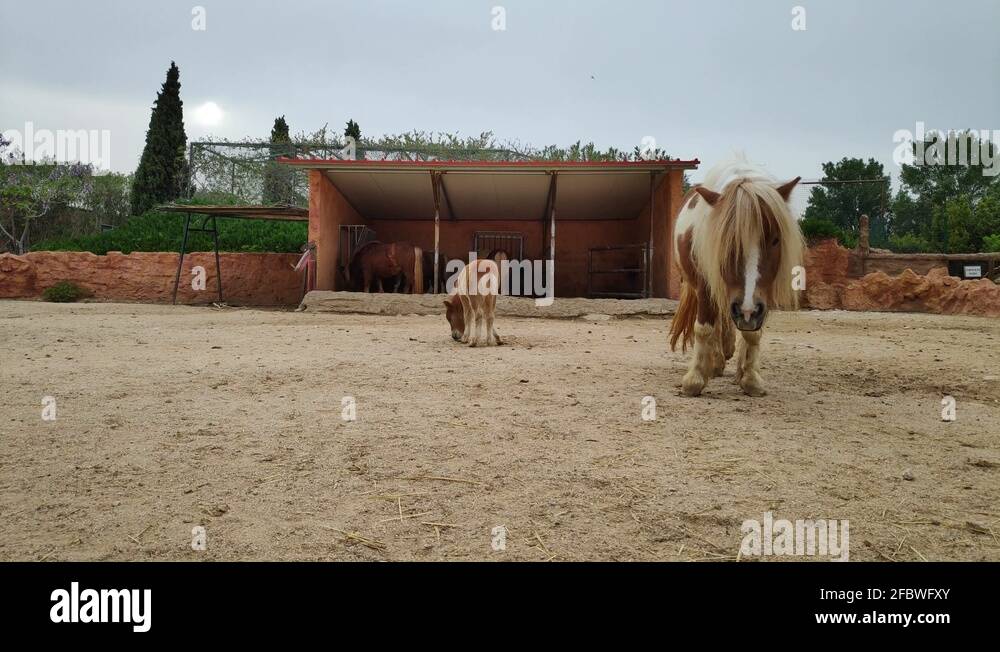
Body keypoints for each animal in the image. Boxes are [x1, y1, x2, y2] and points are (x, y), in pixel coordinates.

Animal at [667, 156, 805, 397]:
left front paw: (749, 378)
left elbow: (753, 334)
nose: (747, 310)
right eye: (726, 241)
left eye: (775, 240)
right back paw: (716, 363)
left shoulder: (762, 296)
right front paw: (695, 379)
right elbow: (704, 328)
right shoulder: (706, 286)